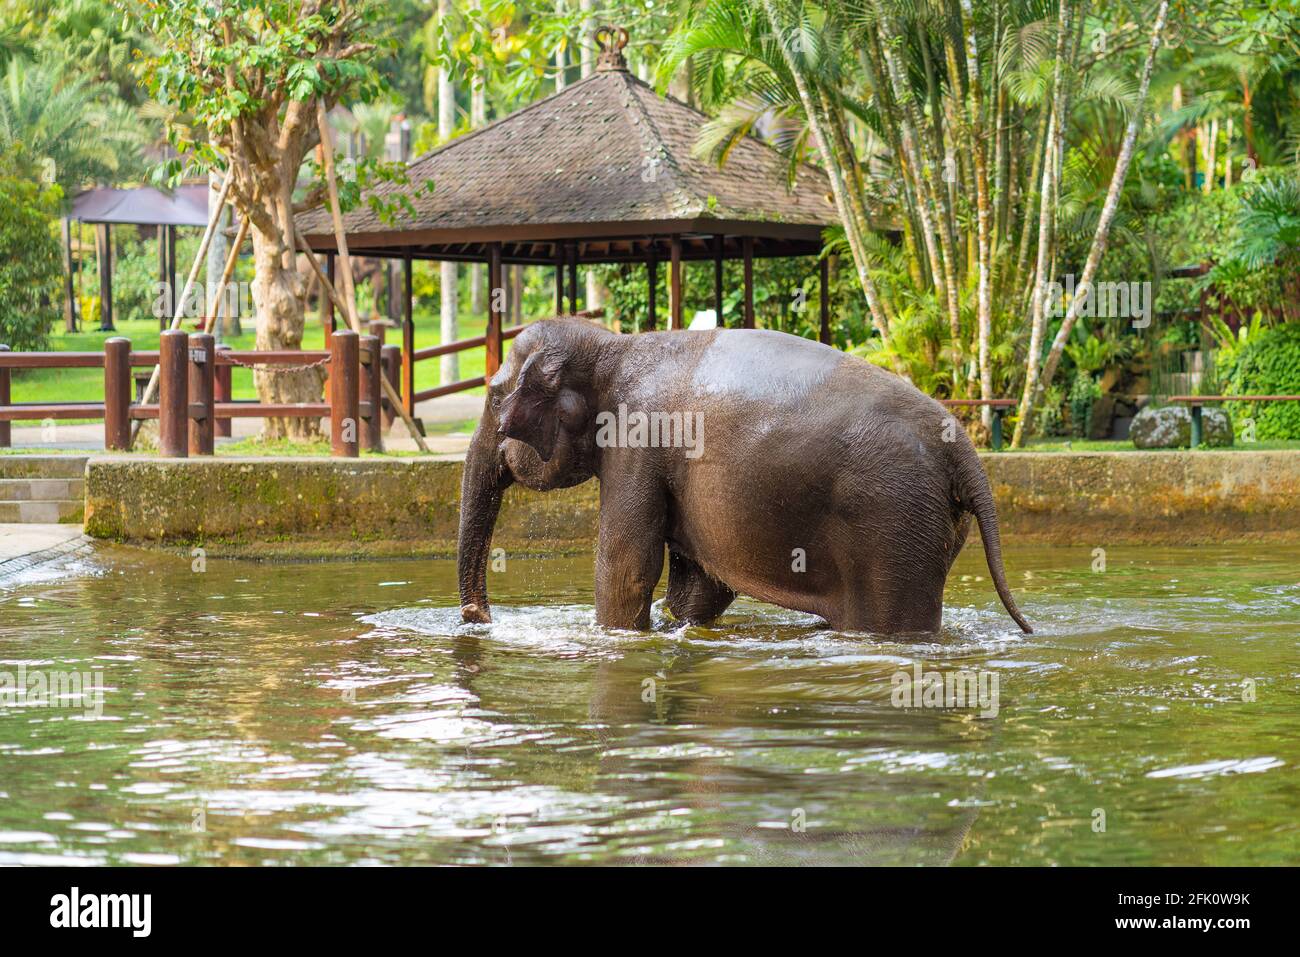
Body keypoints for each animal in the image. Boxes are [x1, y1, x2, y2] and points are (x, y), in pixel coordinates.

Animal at [457, 317, 1031, 636]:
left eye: (493, 397)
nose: (480, 618)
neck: (615, 346)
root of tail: (964, 453)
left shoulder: (637, 445)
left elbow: (626, 568)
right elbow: (698, 584)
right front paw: (676, 623)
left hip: (892, 521)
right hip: (934, 524)